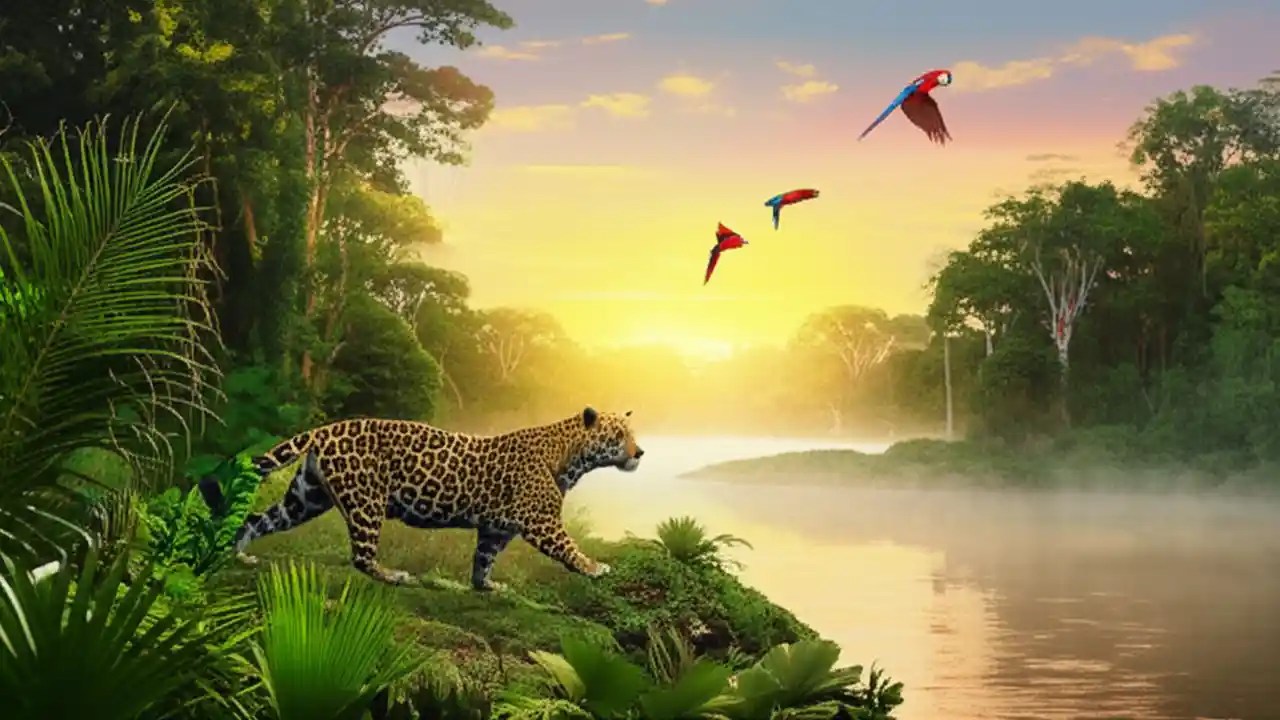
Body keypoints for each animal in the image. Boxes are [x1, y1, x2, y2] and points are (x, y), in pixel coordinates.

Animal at [197, 406, 644, 590]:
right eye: (617, 435)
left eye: (632, 435)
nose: (640, 452)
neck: (571, 457)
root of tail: (325, 429)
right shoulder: (541, 520)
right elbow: (569, 546)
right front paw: (594, 567)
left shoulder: (497, 528)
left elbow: (484, 557)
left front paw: (485, 586)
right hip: (366, 499)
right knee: (361, 555)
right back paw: (393, 575)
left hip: (307, 498)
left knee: (255, 519)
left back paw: (238, 555)